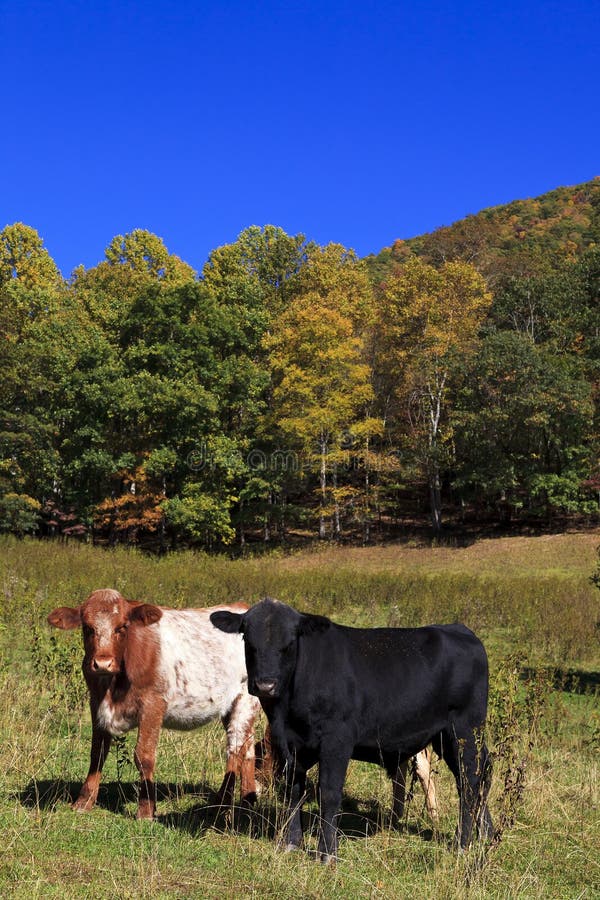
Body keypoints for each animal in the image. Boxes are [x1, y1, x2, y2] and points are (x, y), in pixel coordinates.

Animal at [48, 589, 262, 820]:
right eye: (87, 628)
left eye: (122, 627)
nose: (103, 663)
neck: (112, 687)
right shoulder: (96, 704)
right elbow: (97, 753)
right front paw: (83, 801)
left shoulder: (153, 704)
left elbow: (144, 755)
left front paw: (146, 809)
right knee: (249, 747)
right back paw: (248, 802)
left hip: (245, 699)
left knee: (235, 749)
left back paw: (221, 804)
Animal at [211, 598, 493, 863]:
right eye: (248, 638)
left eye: (290, 642)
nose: (265, 685)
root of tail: (458, 629)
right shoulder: (288, 744)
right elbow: (294, 791)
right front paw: (292, 843)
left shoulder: (337, 741)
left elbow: (329, 793)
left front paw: (327, 853)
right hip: (447, 737)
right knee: (482, 774)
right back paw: (485, 834)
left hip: (464, 731)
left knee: (469, 782)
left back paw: (462, 844)